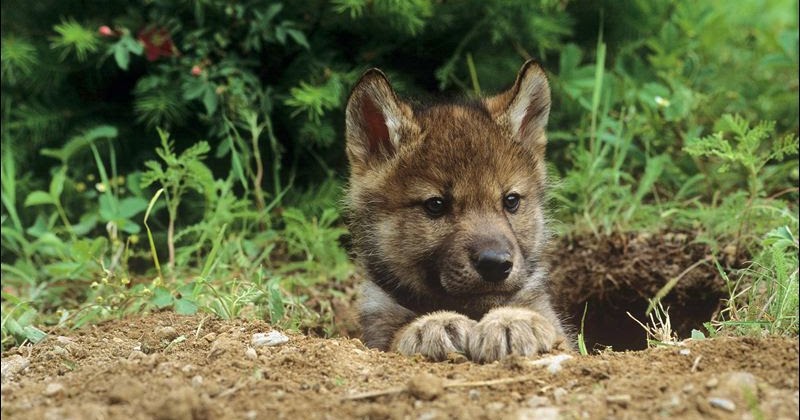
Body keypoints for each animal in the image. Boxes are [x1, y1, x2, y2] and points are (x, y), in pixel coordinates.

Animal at [344, 61, 569, 363]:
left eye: (511, 201)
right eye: (436, 205)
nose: (495, 264)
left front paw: (512, 320)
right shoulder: (376, 334)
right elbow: (398, 333)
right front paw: (434, 323)